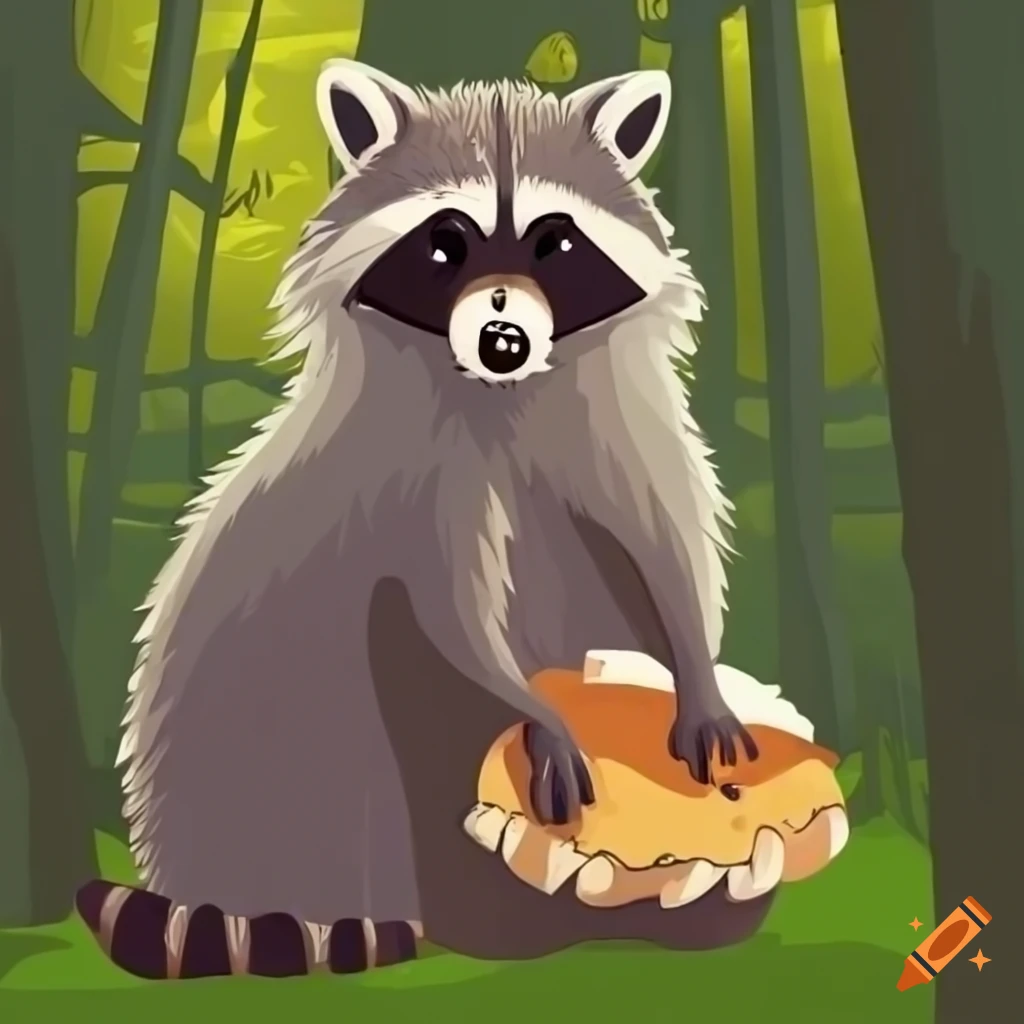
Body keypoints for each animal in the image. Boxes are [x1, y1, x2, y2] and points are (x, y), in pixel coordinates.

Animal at [76, 60, 766, 980]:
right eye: (446, 244)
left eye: (556, 243)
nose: (504, 337)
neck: (508, 391)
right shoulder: (417, 482)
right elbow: (447, 616)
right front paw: (534, 708)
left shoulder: (627, 429)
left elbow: (666, 554)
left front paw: (699, 670)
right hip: (286, 753)